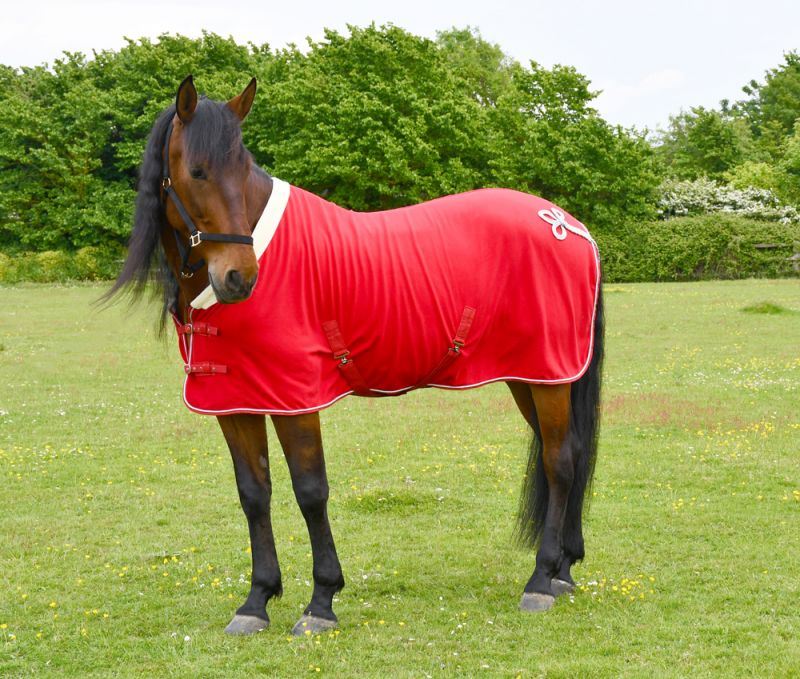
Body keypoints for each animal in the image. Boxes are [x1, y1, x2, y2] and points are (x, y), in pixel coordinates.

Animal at [107, 75, 604, 636]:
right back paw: (563, 570)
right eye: (197, 171)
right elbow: (254, 493)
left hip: (547, 375)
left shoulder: (295, 400)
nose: (240, 278)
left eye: (242, 167)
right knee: (567, 452)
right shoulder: (235, 402)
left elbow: (310, 491)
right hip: (532, 376)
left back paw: (541, 579)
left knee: (559, 461)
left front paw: (321, 601)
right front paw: (256, 601)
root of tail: (565, 223)